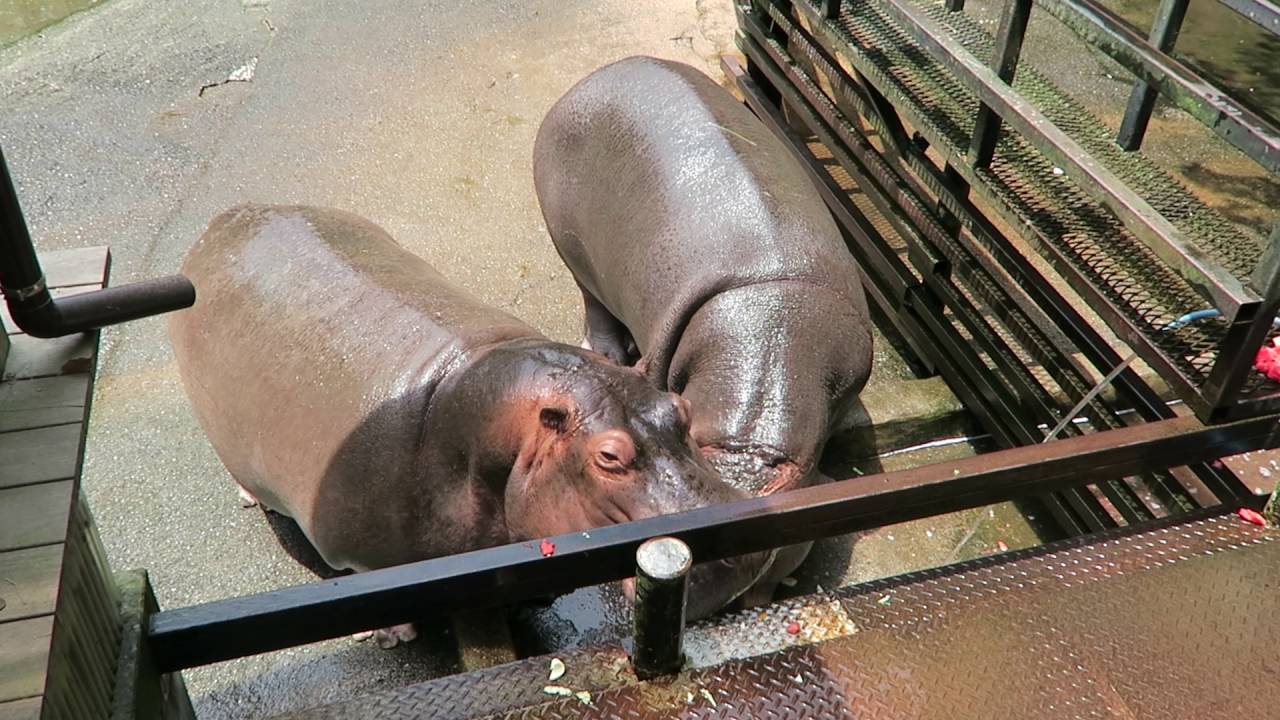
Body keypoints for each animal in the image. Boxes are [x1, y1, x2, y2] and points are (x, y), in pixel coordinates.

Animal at [168, 204, 772, 645]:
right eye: (609, 457)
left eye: (682, 410)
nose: (741, 540)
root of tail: (224, 219)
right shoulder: (358, 553)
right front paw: (392, 636)